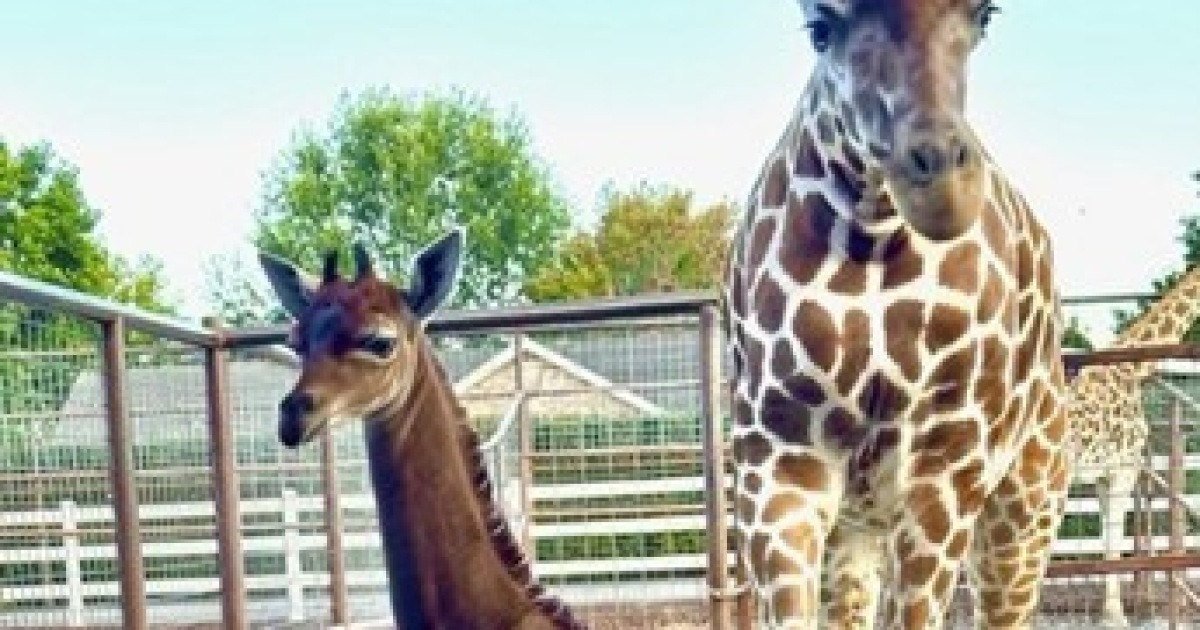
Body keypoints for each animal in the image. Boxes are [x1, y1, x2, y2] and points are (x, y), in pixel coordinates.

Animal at [722, 2, 1070, 628]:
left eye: (985, 16)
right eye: (820, 26)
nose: (941, 188)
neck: (876, 239)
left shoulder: (943, 473)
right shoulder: (778, 467)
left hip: (1025, 510)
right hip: (858, 525)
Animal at [1066, 262, 1200, 628]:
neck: (1132, 365)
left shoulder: (1103, 475)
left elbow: (1107, 538)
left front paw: (1110, 614)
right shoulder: (1124, 467)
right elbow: (1114, 539)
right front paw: (1115, 617)